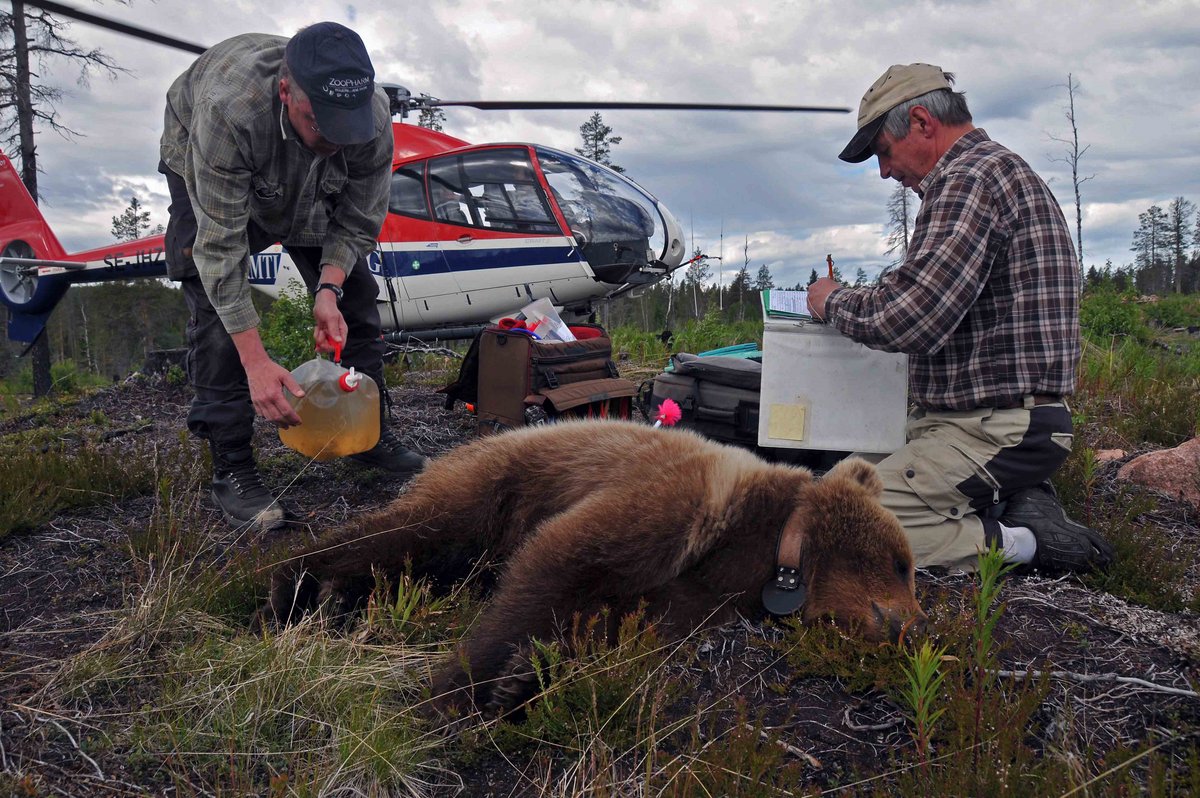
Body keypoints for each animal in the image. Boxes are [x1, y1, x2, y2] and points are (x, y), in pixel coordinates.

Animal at [267, 419, 924, 715]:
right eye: (903, 564)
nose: (911, 626)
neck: (763, 541)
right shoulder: (675, 505)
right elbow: (557, 562)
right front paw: (449, 689)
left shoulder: (691, 591)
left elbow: (613, 625)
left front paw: (522, 679)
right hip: (491, 485)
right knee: (405, 529)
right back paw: (292, 585)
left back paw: (337, 595)